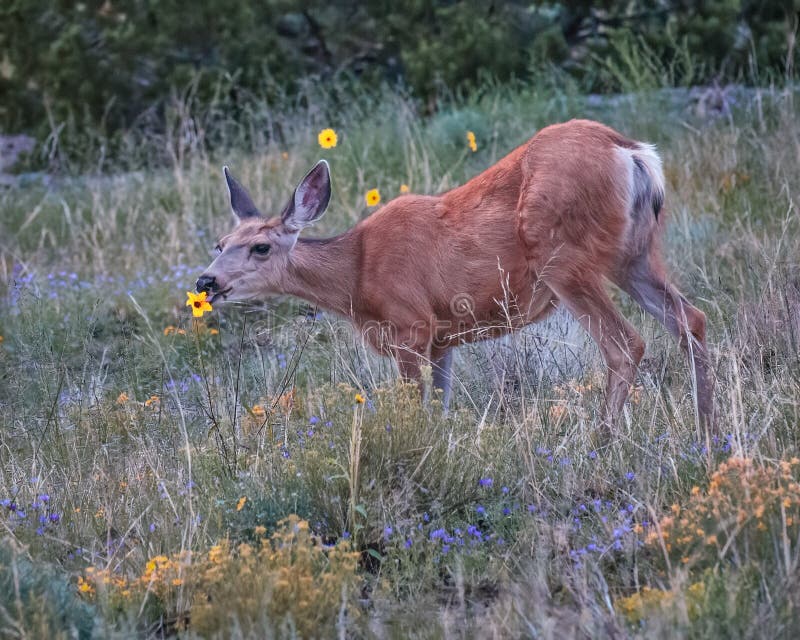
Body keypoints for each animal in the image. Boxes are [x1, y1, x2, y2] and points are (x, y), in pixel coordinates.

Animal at [196, 119, 715, 433]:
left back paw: (600, 444)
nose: (206, 282)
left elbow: (414, 409)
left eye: (261, 247)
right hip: (634, 255)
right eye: (220, 243)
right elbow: (439, 413)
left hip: (562, 258)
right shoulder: (443, 338)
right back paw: (707, 433)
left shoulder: (410, 324)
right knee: (691, 318)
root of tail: (632, 153)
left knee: (626, 344)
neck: (356, 277)